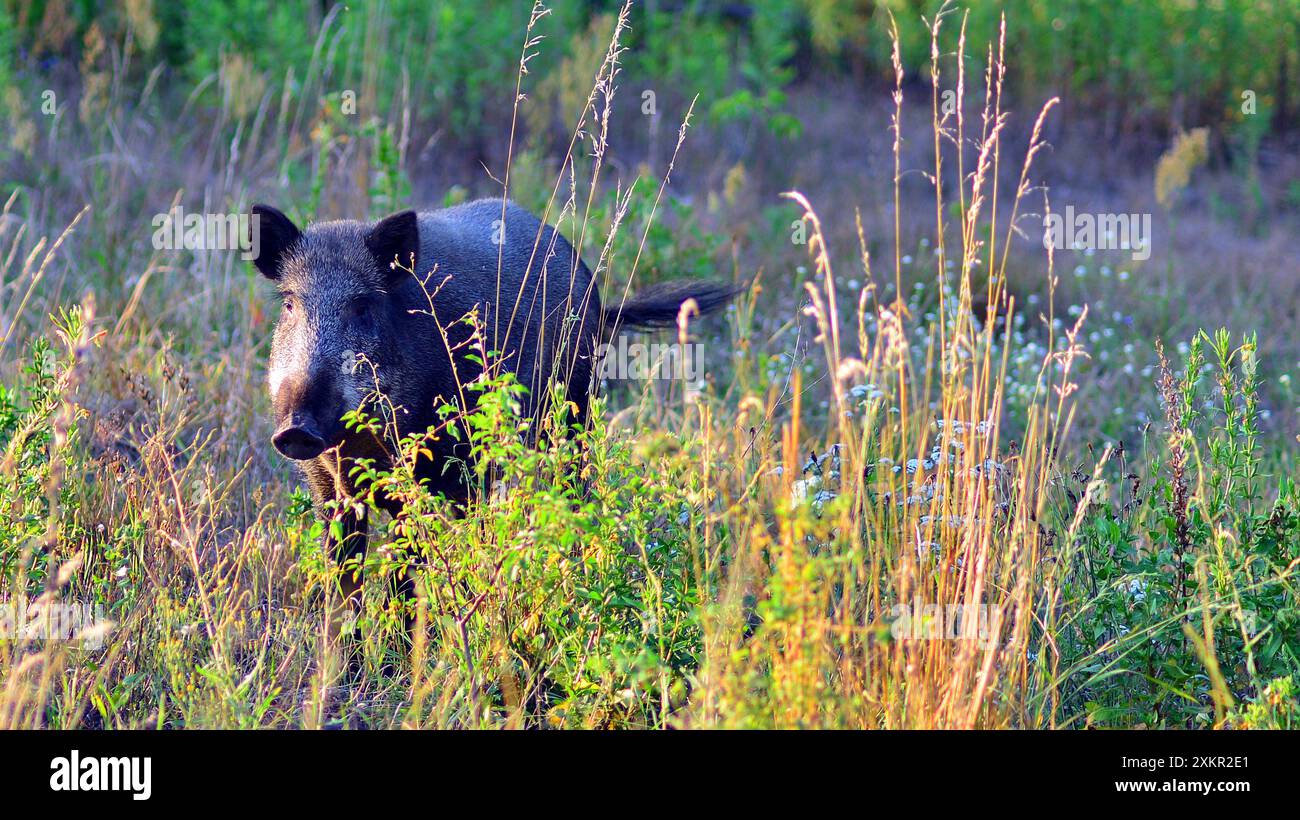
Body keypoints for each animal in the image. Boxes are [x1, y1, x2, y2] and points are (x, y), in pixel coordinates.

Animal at [249, 198, 734, 625]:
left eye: (362, 305)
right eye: (289, 305)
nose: (296, 428)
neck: (359, 445)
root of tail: (595, 294)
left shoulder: (419, 479)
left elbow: (403, 581)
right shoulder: (329, 488)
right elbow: (343, 584)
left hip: (574, 419)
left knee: (573, 493)